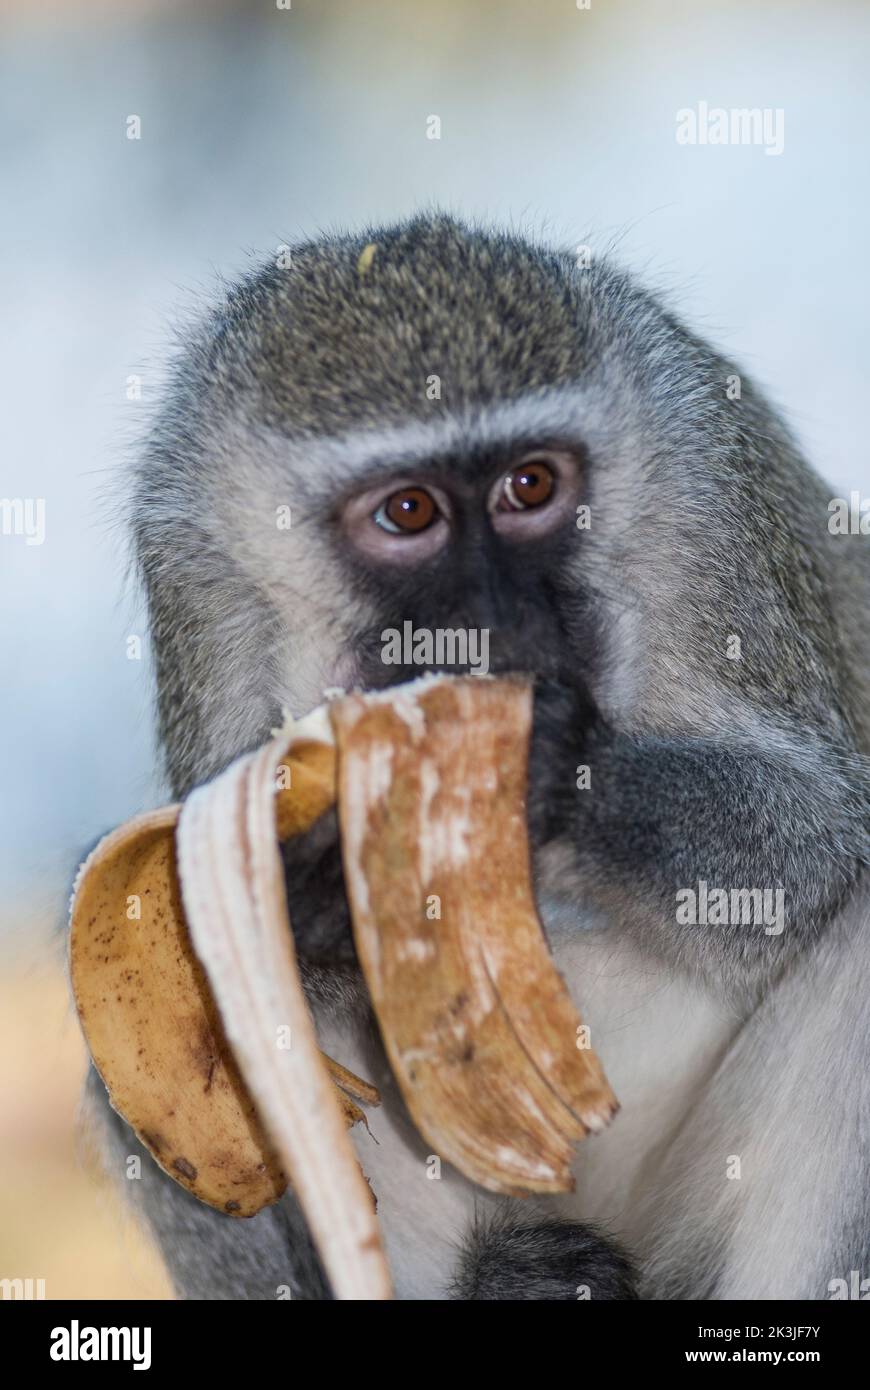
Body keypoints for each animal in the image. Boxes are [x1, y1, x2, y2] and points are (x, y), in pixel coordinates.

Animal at [85, 212, 869, 1300]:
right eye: (409, 512)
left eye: (528, 486)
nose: (499, 622)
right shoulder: (198, 578)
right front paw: (307, 894)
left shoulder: (710, 501)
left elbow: (810, 848)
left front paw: (537, 772)